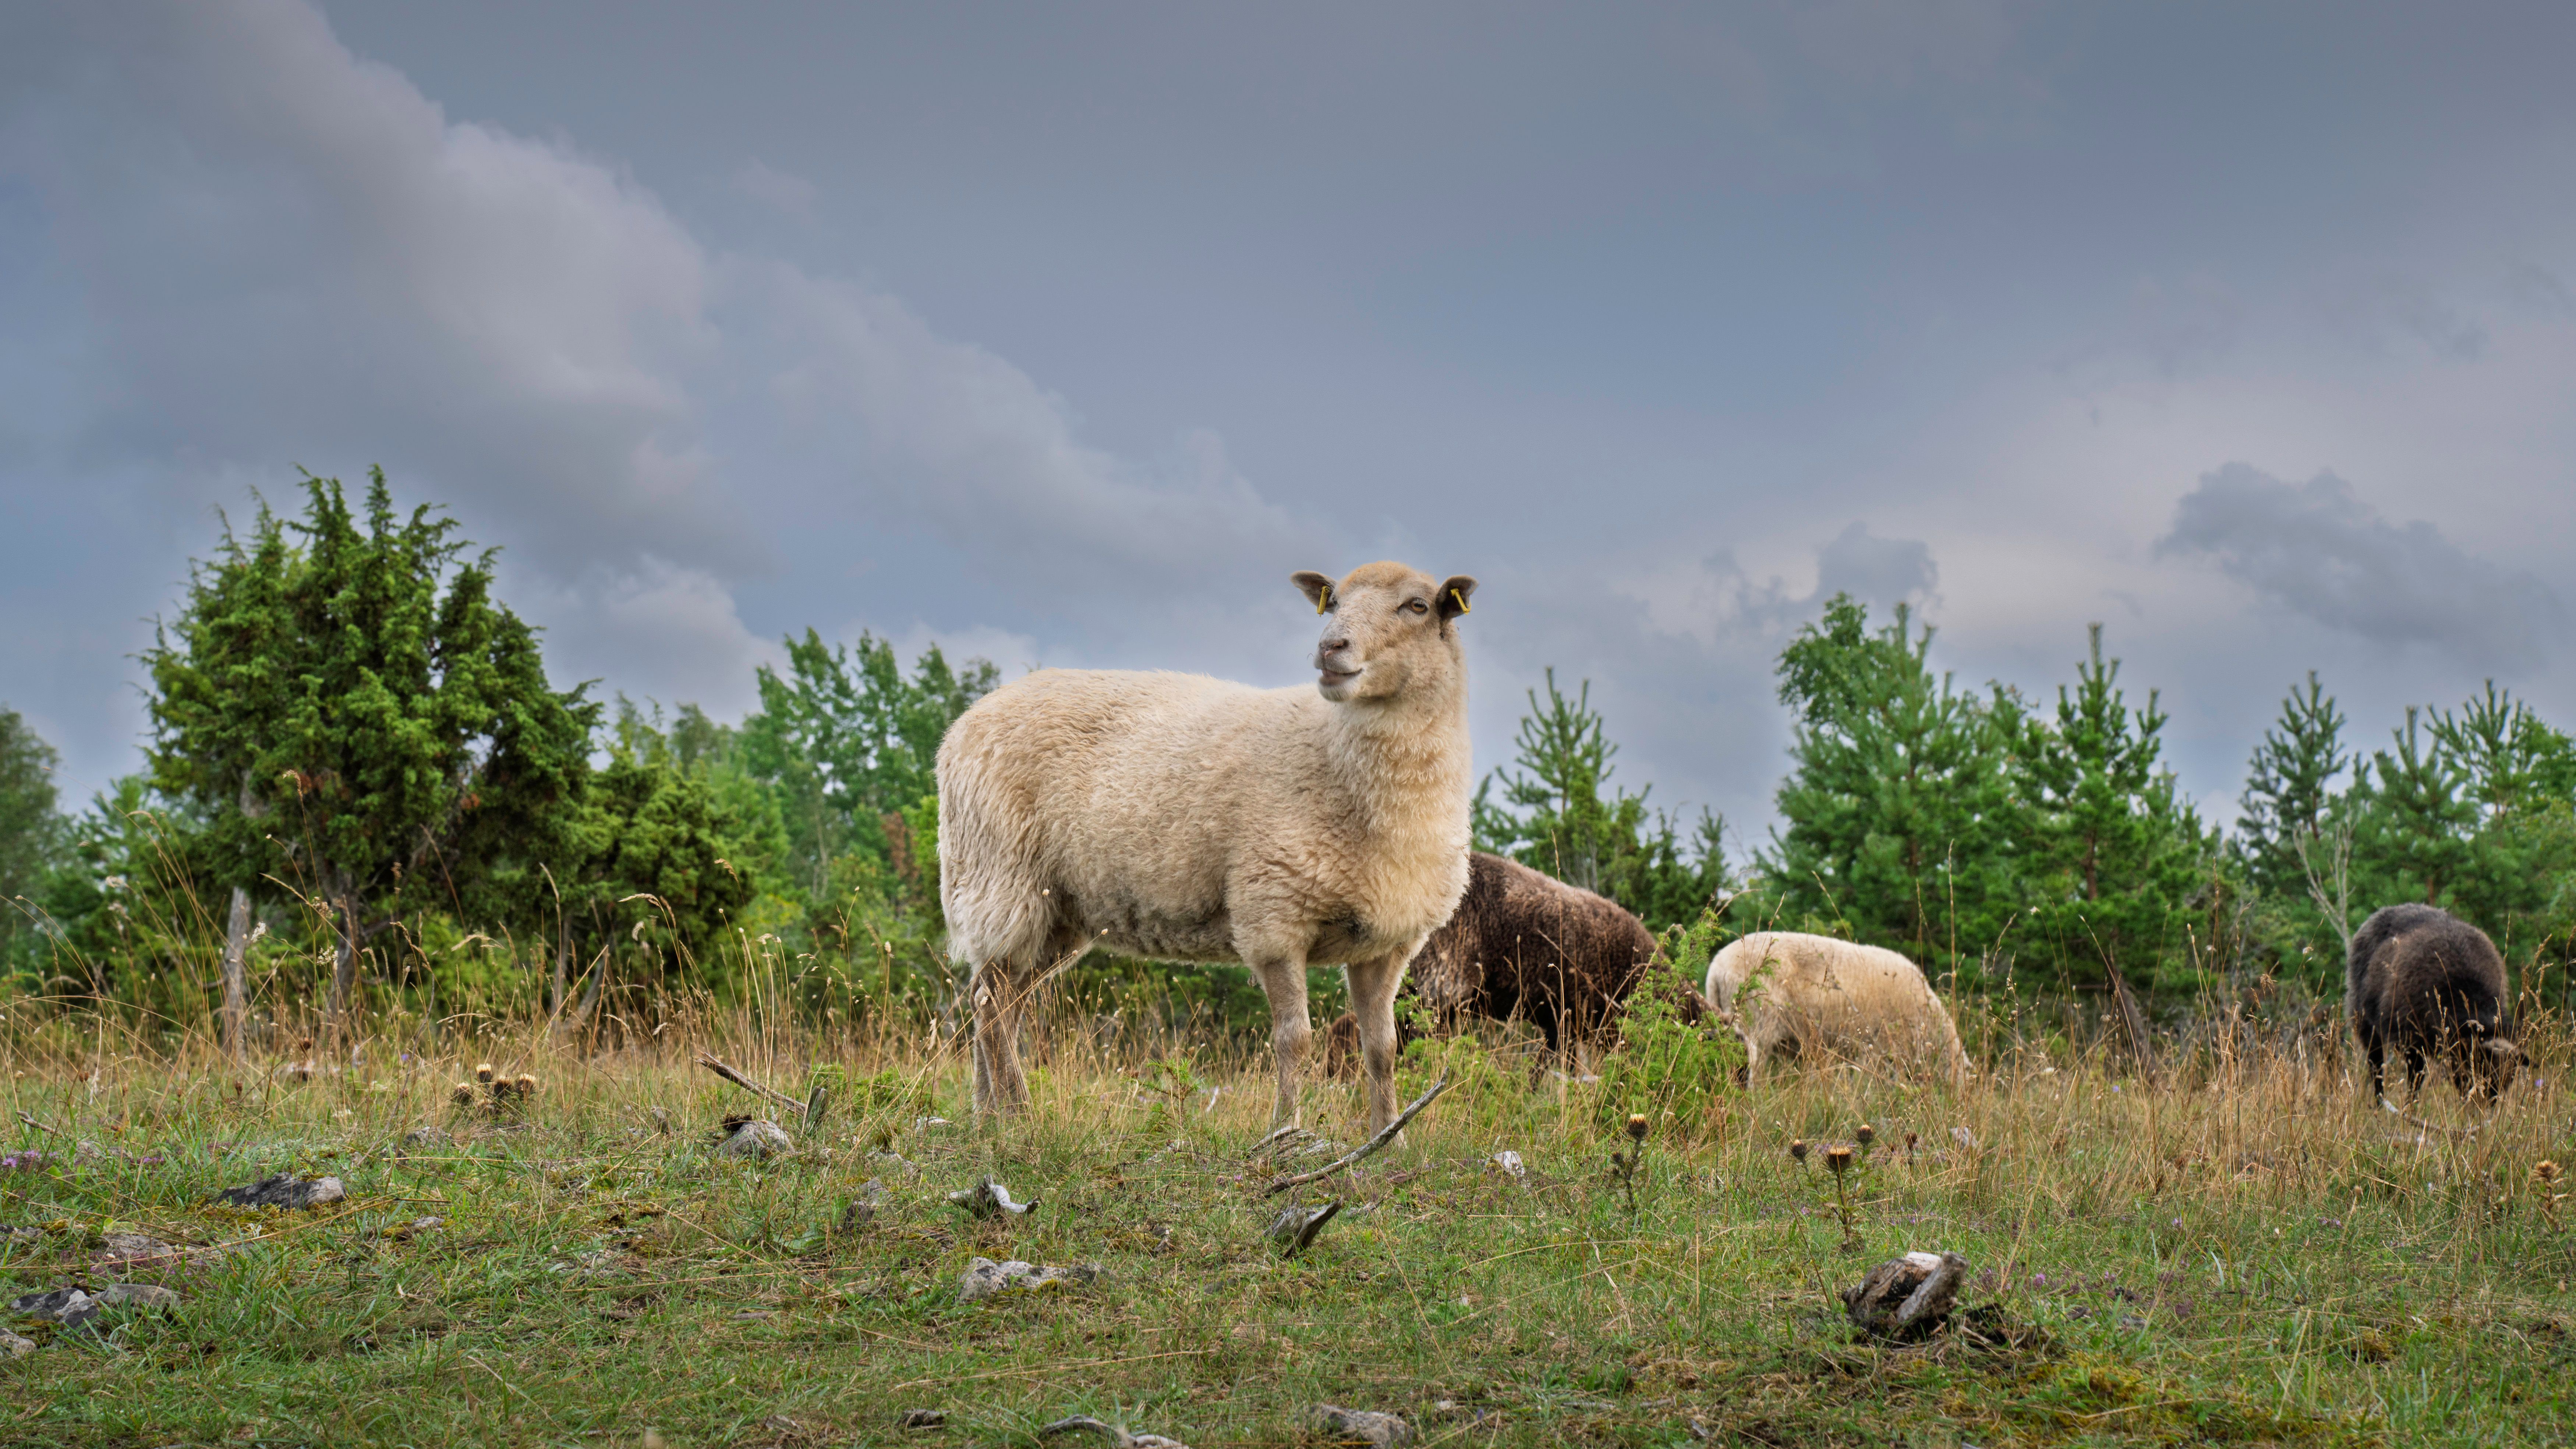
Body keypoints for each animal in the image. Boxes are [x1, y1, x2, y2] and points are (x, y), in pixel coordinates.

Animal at [937, 560, 1479, 1134]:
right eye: (1332, 604)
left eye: (1417, 606)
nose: (1331, 647)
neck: (1335, 756)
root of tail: (964, 724)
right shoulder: (1273, 917)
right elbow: (1295, 1040)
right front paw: (1285, 1134)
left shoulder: (1388, 942)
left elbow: (1381, 1048)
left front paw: (1388, 1138)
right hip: (1002, 880)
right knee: (992, 1007)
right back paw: (1018, 1115)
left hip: (1054, 912)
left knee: (996, 999)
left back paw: (988, 1118)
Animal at [2348, 902, 2520, 1103]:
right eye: (2480, 1069)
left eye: (2508, 1080)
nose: (2484, 1107)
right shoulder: (2413, 1042)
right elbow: (2415, 1082)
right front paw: (2410, 1107)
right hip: (2366, 1023)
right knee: (2376, 1068)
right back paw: (2380, 1104)